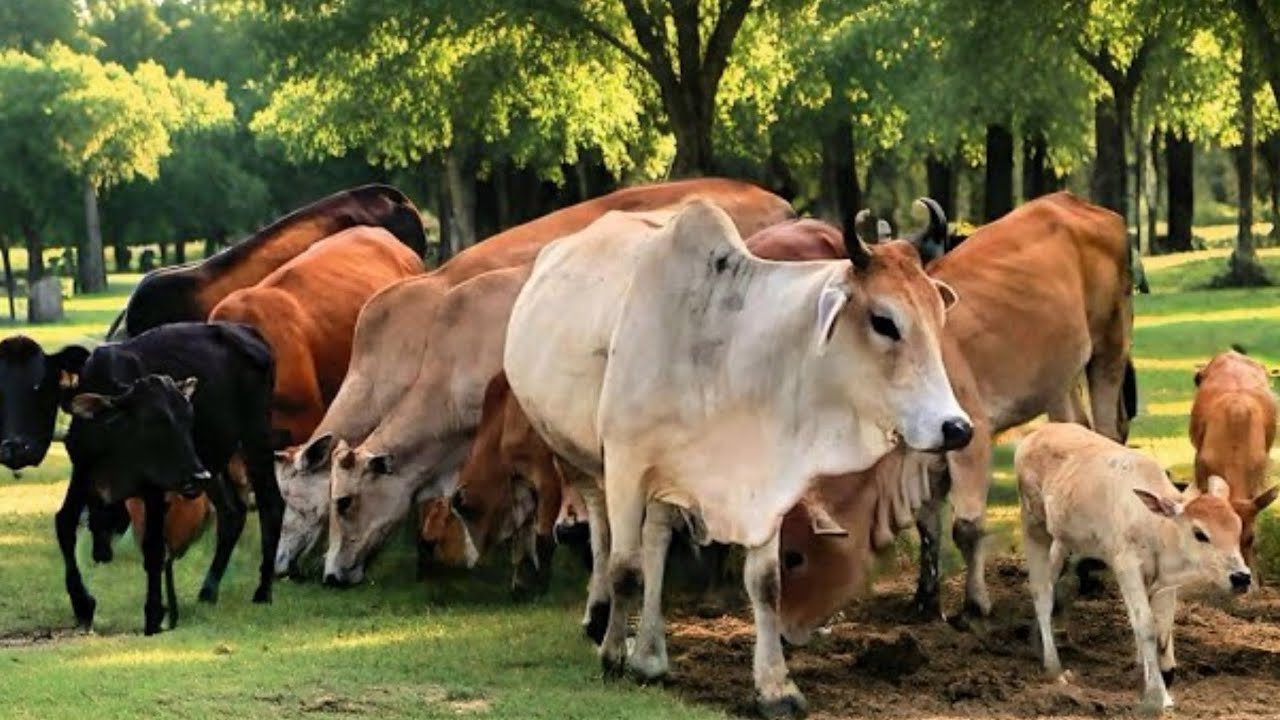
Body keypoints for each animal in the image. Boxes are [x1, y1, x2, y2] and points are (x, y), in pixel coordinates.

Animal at [57, 322, 283, 635]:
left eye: (189, 419)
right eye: (153, 423)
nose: (197, 474)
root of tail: (247, 330)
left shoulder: (153, 489)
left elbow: (153, 548)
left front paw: (154, 614)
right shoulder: (81, 471)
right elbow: (65, 524)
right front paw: (82, 604)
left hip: (253, 438)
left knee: (272, 504)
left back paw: (263, 591)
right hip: (214, 464)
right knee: (232, 512)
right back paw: (208, 591)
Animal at [503, 200, 970, 717]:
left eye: (938, 318)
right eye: (884, 321)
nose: (956, 427)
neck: (727, 355)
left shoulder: (764, 482)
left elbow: (764, 584)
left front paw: (775, 688)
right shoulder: (626, 463)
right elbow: (626, 570)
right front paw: (611, 657)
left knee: (656, 539)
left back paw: (650, 655)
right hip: (573, 455)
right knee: (603, 534)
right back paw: (602, 621)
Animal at [763, 192, 1135, 637]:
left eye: (795, 557)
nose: (783, 630)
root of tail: (1077, 202)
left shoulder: (969, 439)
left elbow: (966, 528)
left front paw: (975, 606)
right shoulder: (923, 456)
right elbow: (929, 526)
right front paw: (926, 600)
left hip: (1109, 347)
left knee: (1111, 433)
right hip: (1059, 381)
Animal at [1016, 422, 1264, 712]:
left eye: (1237, 528)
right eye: (1200, 534)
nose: (1241, 577)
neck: (1157, 527)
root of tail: (1035, 435)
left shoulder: (1166, 584)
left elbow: (1163, 628)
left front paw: (1162, 678)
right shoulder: (1127, 568)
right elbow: (1145, 626)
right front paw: (1158, 694)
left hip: (1062, 542)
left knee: (1056, 584)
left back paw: (1037, 644)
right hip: (1034, 527)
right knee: (1041, 593)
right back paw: (1054, 667)